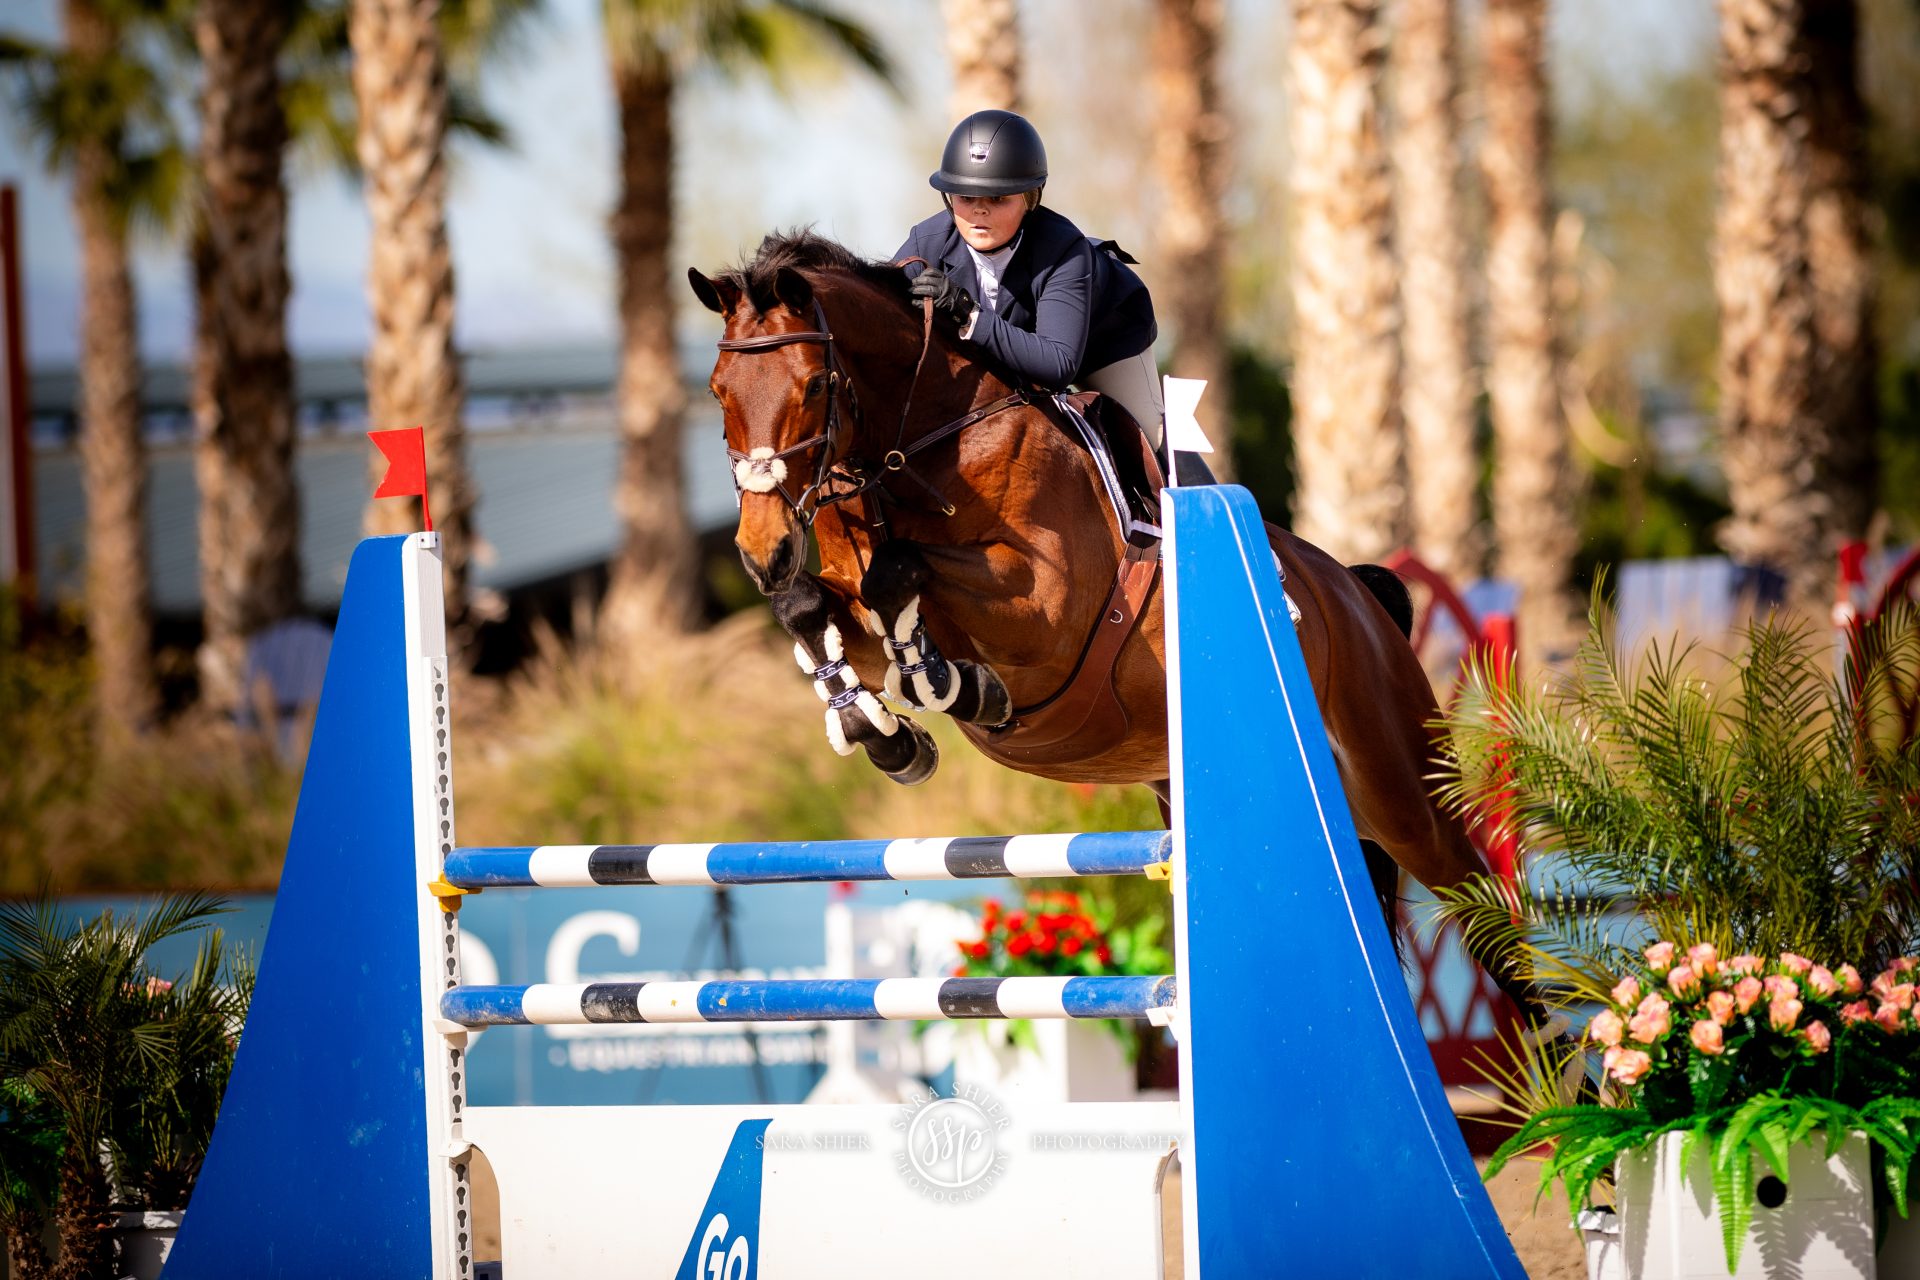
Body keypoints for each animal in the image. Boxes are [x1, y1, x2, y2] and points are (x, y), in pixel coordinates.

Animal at [688, 230, 1533, 1013]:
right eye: (718, 390)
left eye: (813, 384)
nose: (761, 552)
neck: (911, 443)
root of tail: (1356, 595)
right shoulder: (850, 601)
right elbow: (814, 606)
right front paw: (883, 733)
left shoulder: (1044, 606)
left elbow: (901, 573)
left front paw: (951, 685)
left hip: (1402, 795)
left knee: (1490, 922)